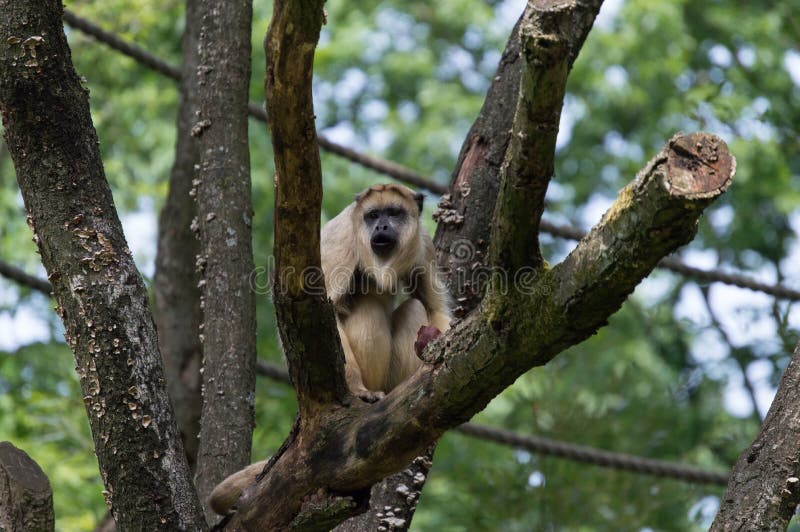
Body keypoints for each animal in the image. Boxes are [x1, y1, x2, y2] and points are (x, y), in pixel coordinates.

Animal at [208, 184, 451, 515]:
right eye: (373, 215)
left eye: (394, 213)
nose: (381, 227)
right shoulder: (343, 239)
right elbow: (330, 309)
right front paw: (357, 390)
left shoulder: (423, 244)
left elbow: (435, 307)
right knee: (369, 308)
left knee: (414, 307)